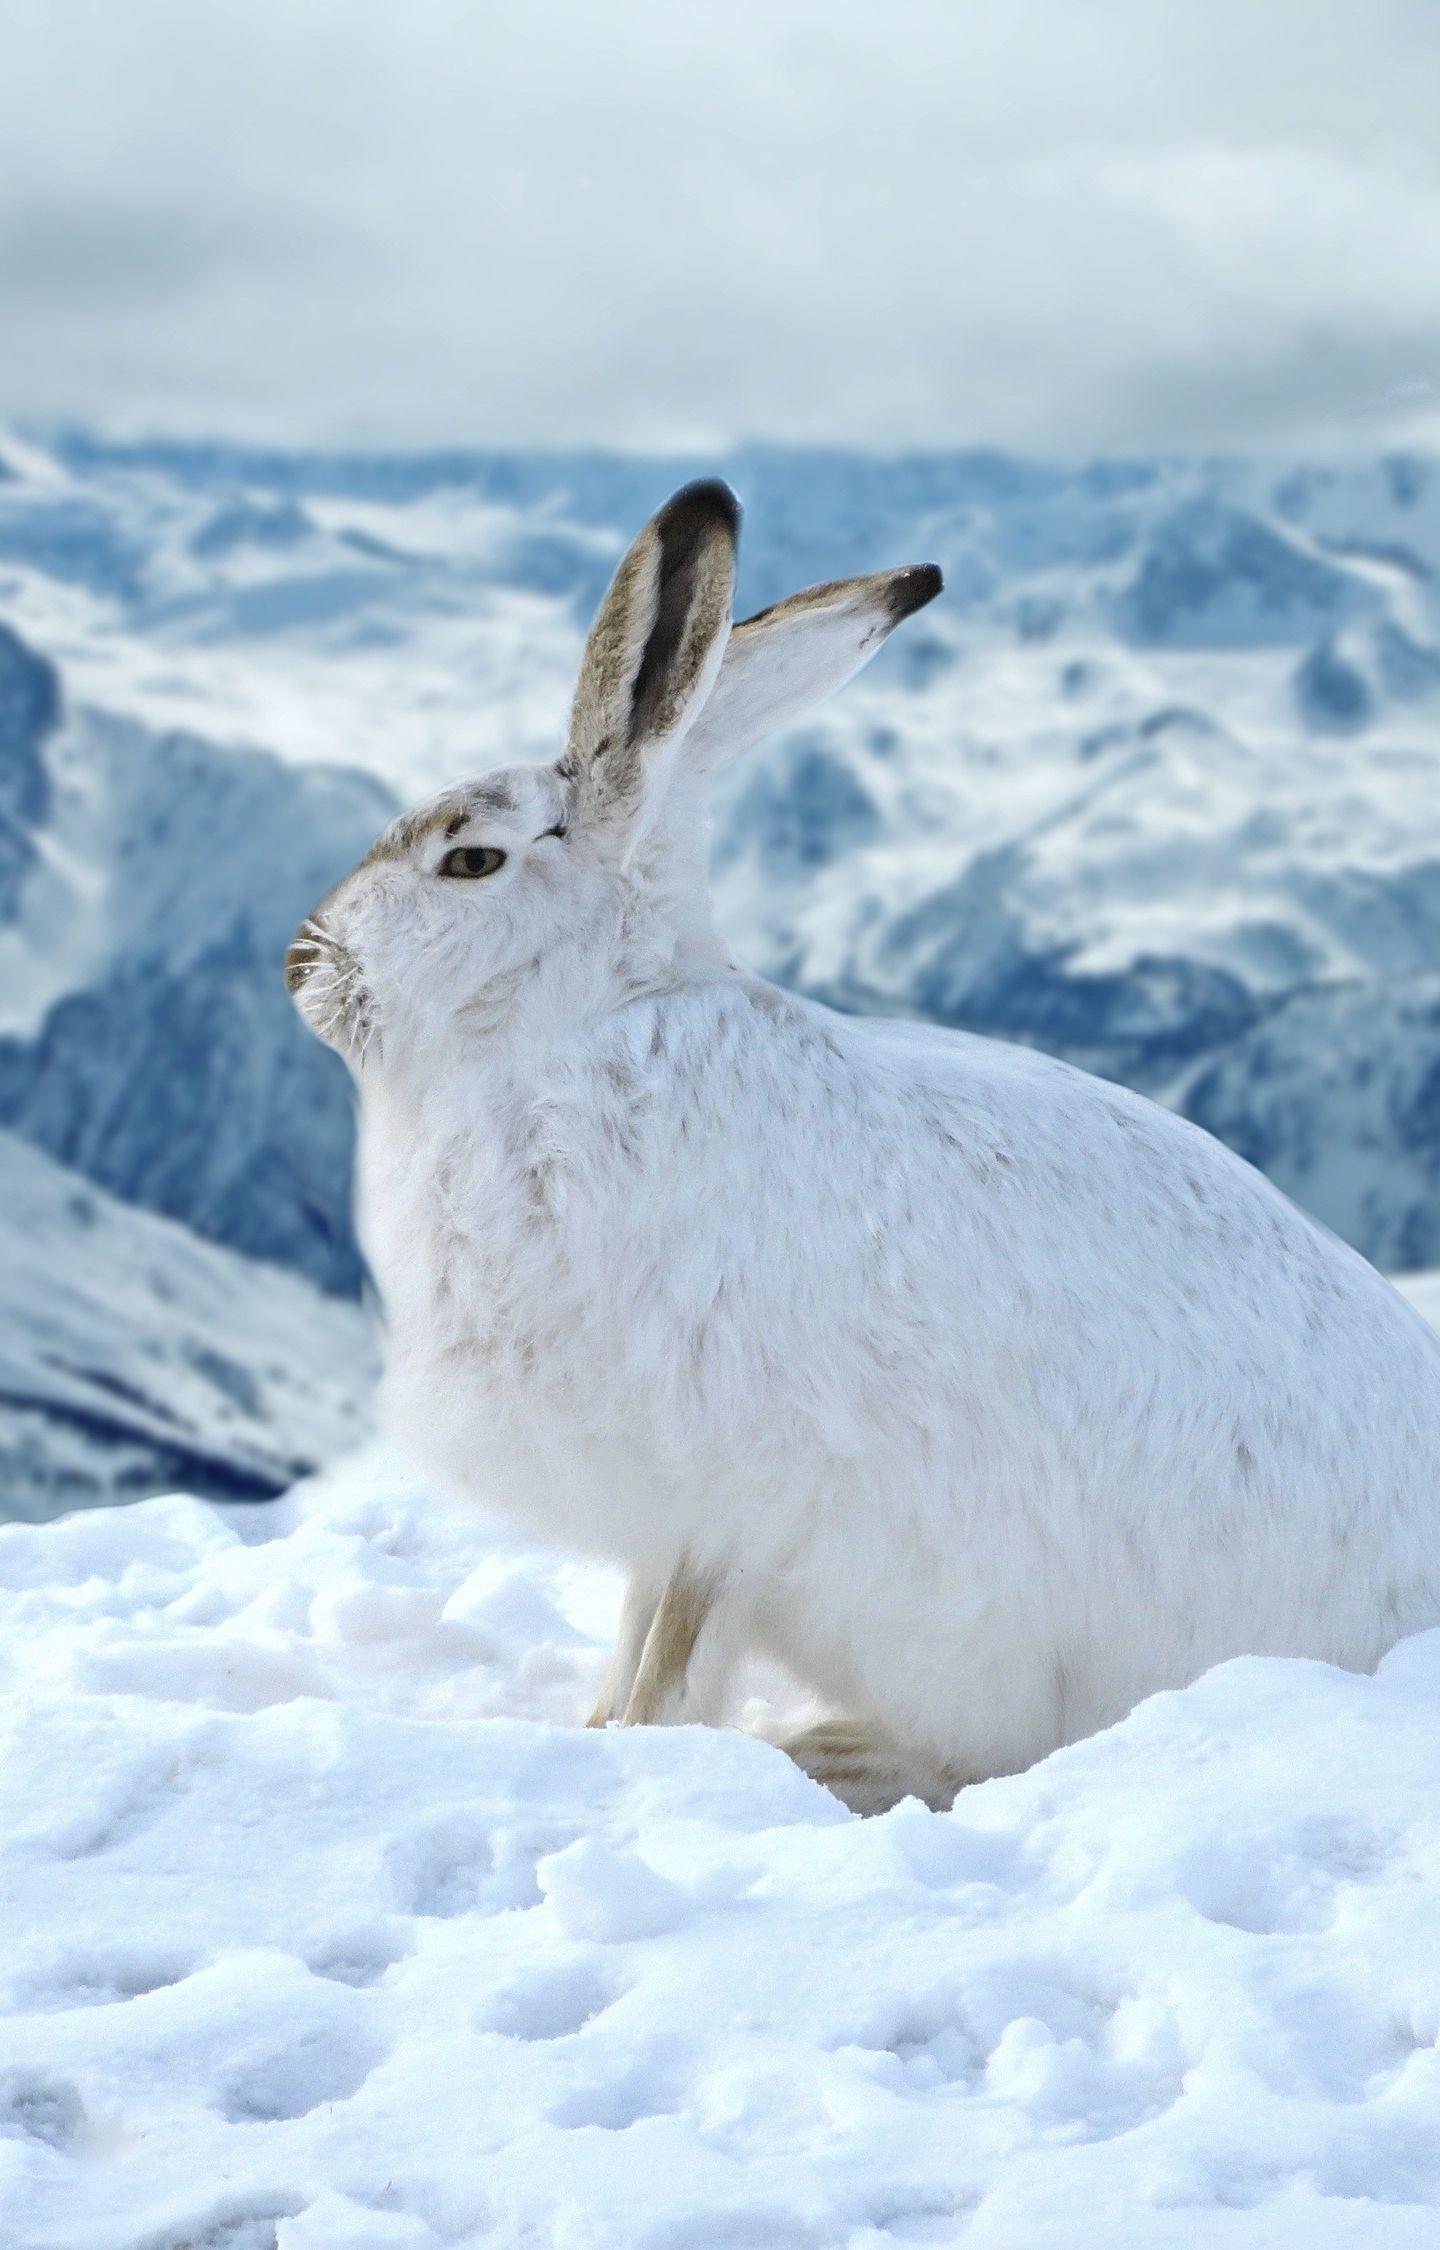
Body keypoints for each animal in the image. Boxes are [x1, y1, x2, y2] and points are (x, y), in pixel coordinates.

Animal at [287, 478, 1440, 1813]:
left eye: (469, 859)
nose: (301, 969)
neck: (578, 1025)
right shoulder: (659, 1523)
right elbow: (630, 1635)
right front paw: (590, 1731)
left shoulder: (717, 1500)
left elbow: (673, 1652)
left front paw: (639, 1752)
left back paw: (832, 1755)